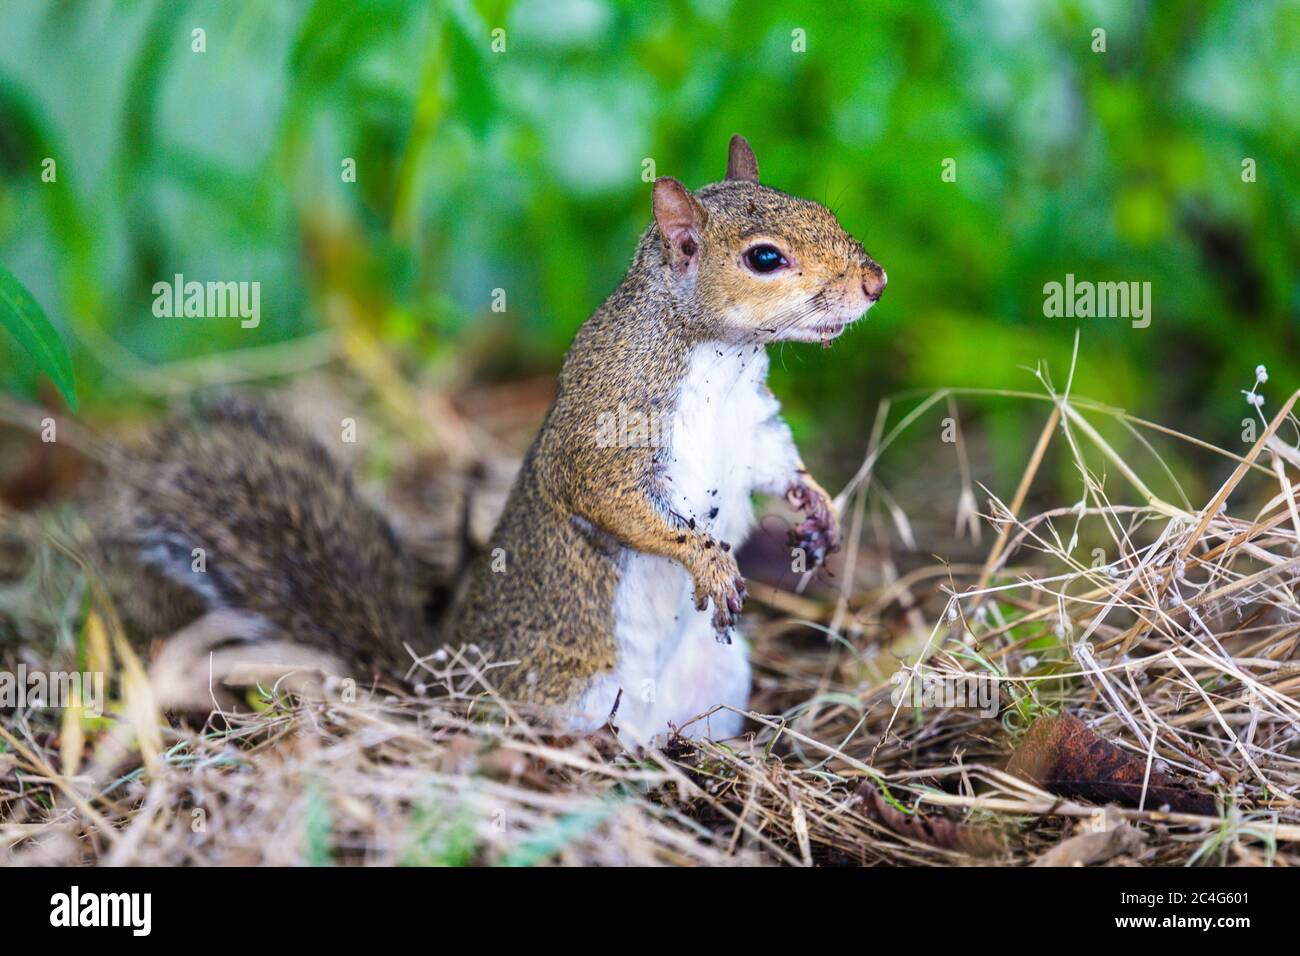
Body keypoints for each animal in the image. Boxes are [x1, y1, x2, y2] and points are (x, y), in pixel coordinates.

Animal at [92, 135, 885, 745]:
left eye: (824, 211)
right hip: (568, 693)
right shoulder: (608, 428)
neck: (720, 355)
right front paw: (709, 562)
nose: (876, 283)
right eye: (764, 258)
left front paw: (817, 508)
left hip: (718, 677)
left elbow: (776, 466)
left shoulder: (753, 425)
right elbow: (618, 501)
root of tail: (438, 674)